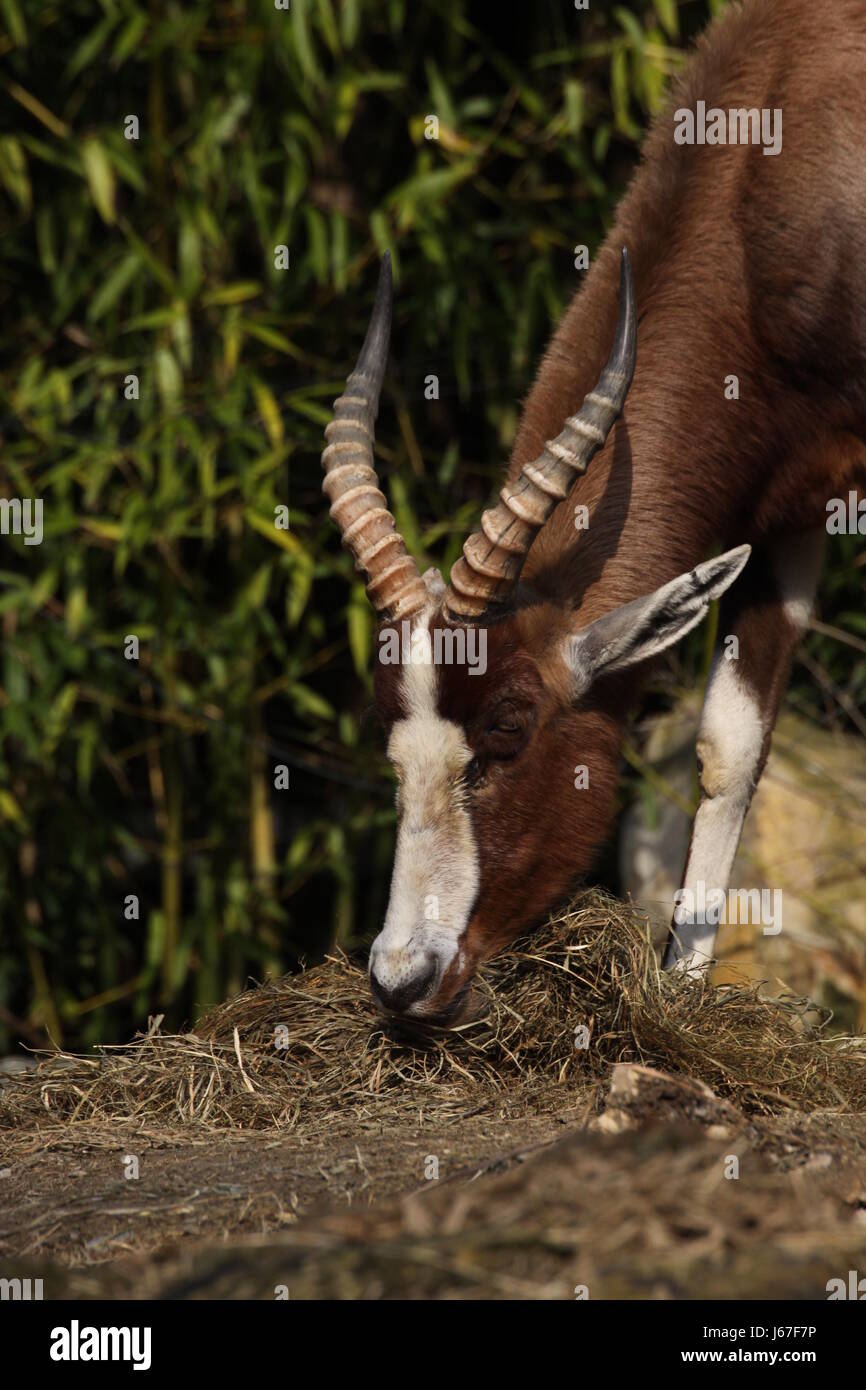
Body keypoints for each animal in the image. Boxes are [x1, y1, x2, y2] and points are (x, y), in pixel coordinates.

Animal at [321, 0, 866, 1023]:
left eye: (508, 727)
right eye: (389, 744)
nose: (404, 980)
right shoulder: (791, 503)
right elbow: (730, 745)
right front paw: (681, 993)